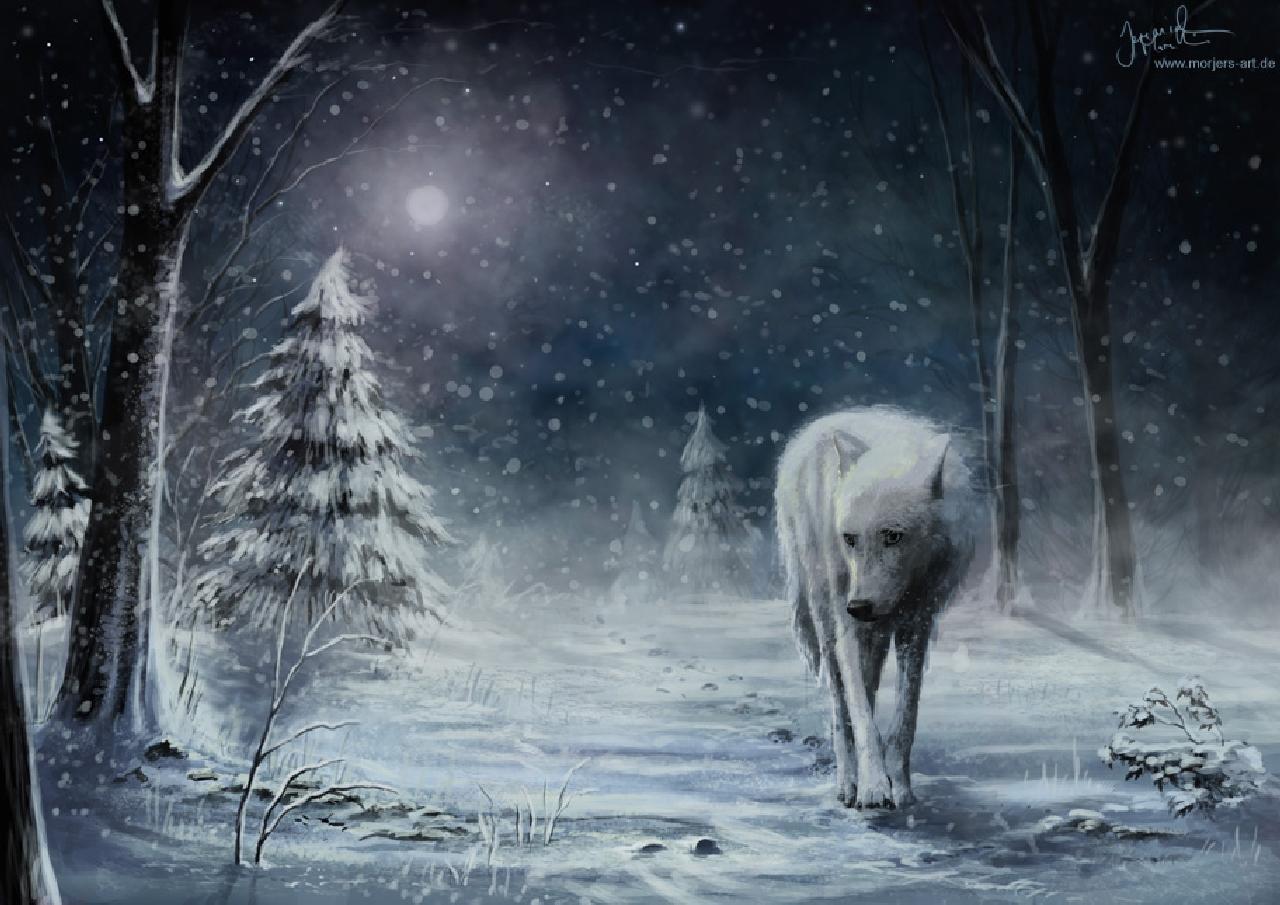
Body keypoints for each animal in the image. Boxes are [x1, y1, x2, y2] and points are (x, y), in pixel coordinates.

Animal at [775, 407, 975, 808]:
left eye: (893, 536)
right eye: (850, 539)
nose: (859, 606)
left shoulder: (917, 625)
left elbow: (905, 715)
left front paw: (900, 784)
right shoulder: (848, 626)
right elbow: (860, 713)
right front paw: (873, 787)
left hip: (879, 631)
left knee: (867, 685)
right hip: (826, 616)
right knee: (841, 703)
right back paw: (847, 782)